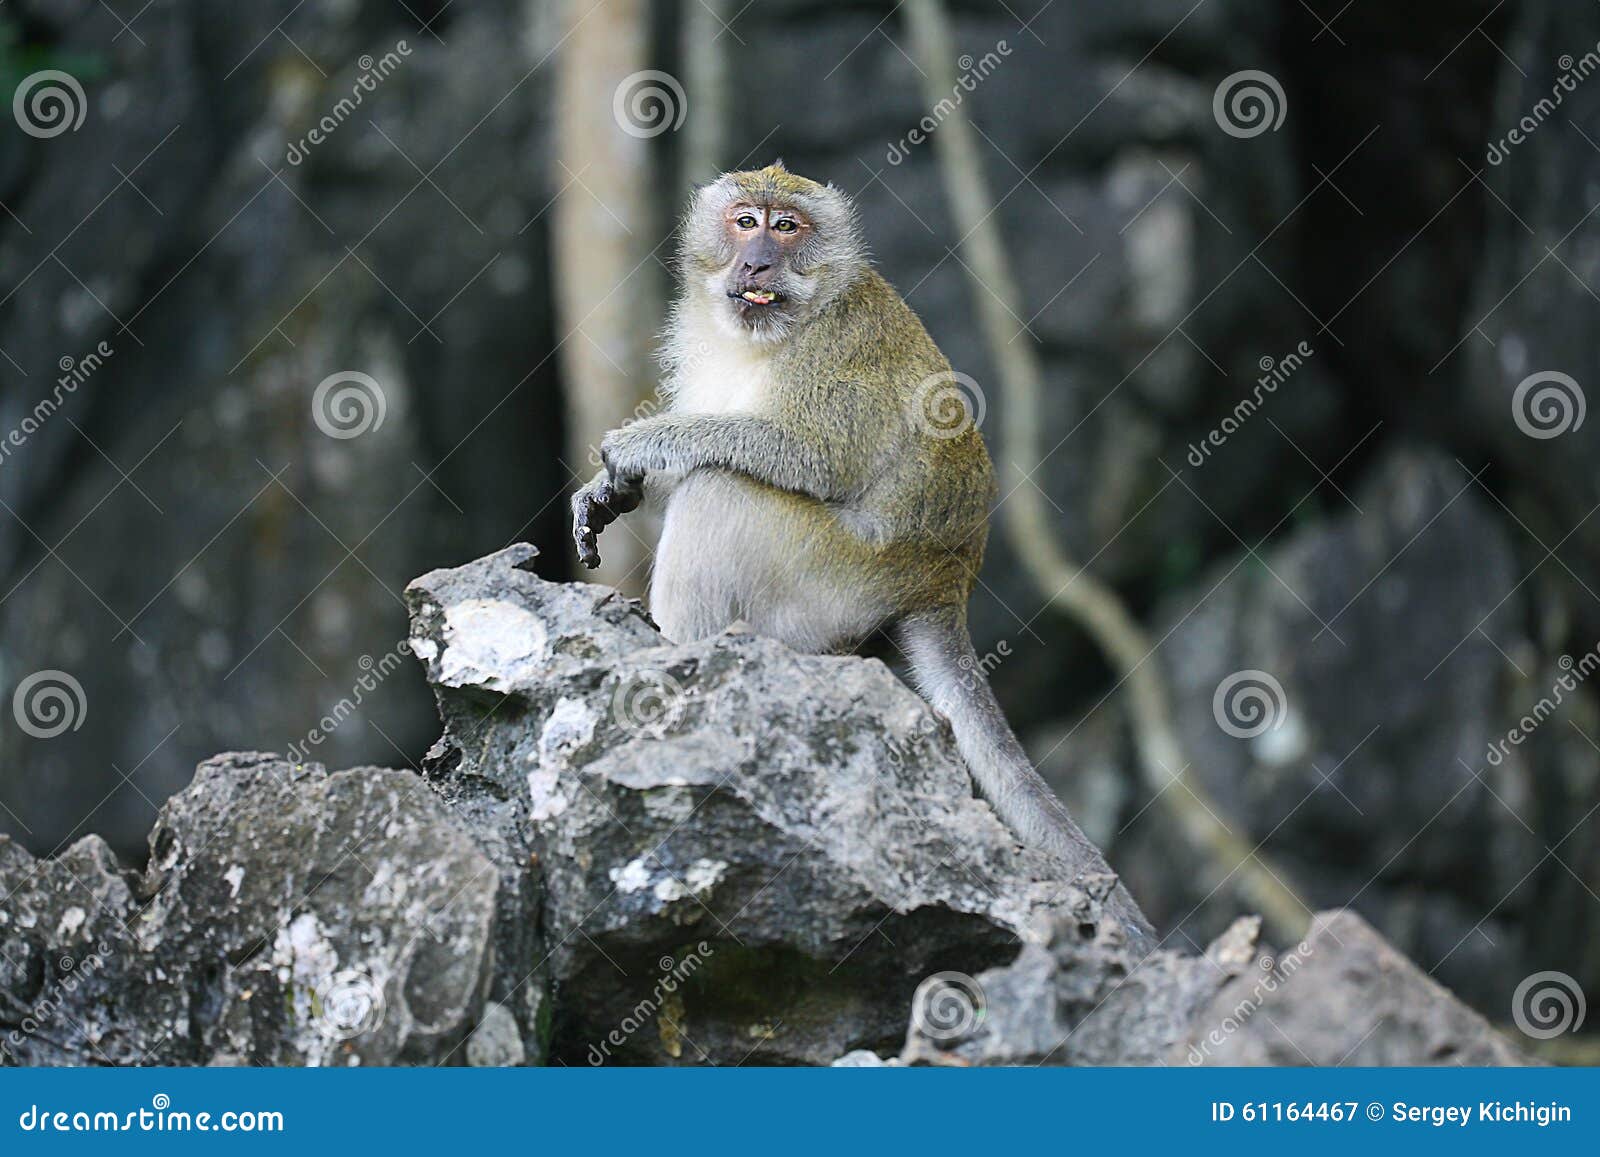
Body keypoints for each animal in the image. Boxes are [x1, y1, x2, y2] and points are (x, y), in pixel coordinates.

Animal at [570, 162, 1113, 877]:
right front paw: (608, 490)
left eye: (786, 226)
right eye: (746, 221)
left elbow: (812, 457)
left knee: (719, 489)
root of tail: (945, 584)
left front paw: (642, 445)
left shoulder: (836, 351)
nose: (758, 260)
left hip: (836, 579)